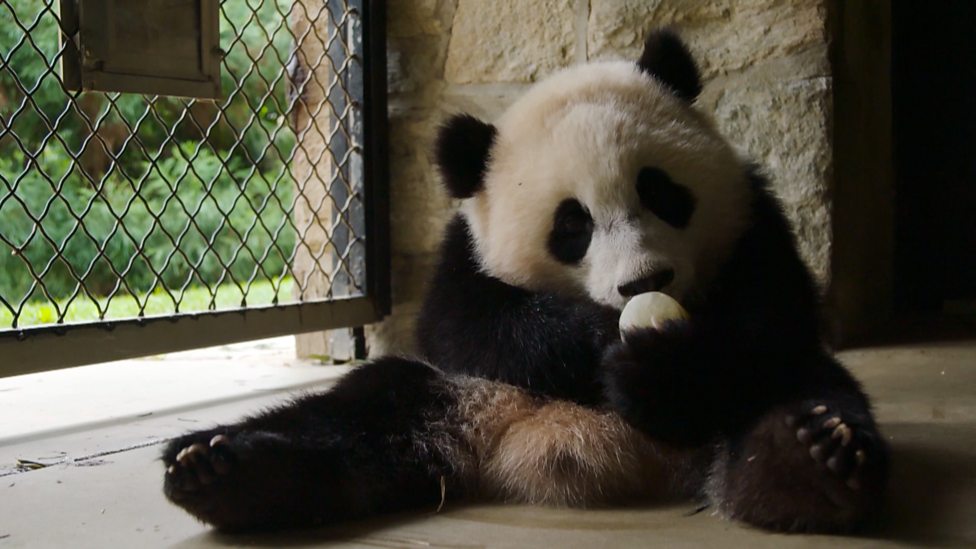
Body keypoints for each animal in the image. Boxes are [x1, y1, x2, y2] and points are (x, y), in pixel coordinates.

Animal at [162, 30, 889, 534]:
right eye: (572, 225)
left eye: (660, 191)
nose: (646, 281)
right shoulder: (465, 253)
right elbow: (466, 328)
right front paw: (596, 337)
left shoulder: (755, 223)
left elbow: (771, 321)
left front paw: (654, 364)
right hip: (466, 393)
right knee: (362, 411)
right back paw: (222, 469)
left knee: (808, 385)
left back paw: (806, 462)